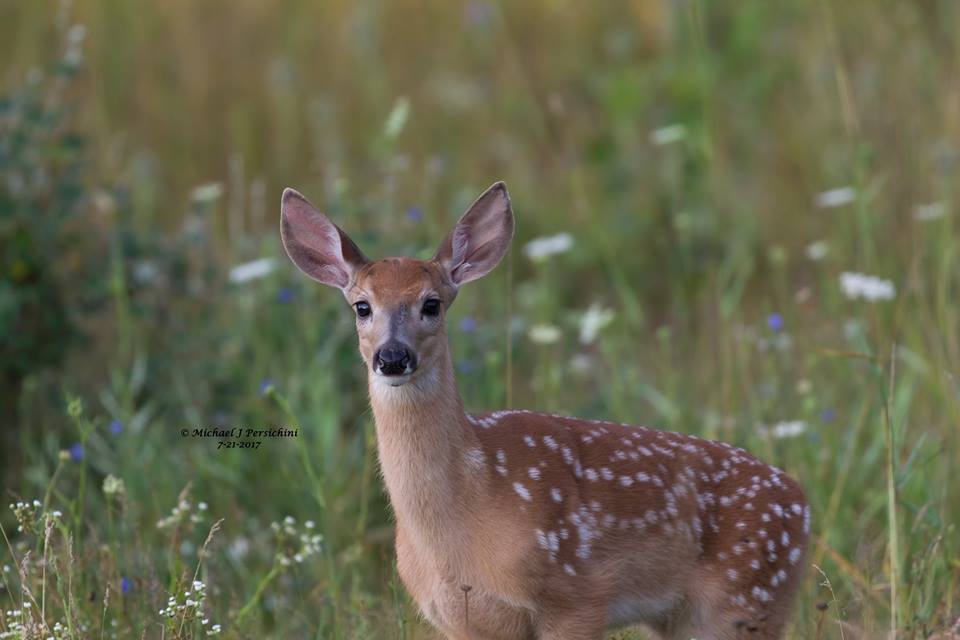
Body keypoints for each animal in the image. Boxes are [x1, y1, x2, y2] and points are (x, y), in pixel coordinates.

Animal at [280, 182, 810, 640]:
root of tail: (801, 501)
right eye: (361, 307)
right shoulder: (460, 620)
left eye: (432, 304)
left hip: (745, 599)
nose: (392, 357)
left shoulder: (576, 597)